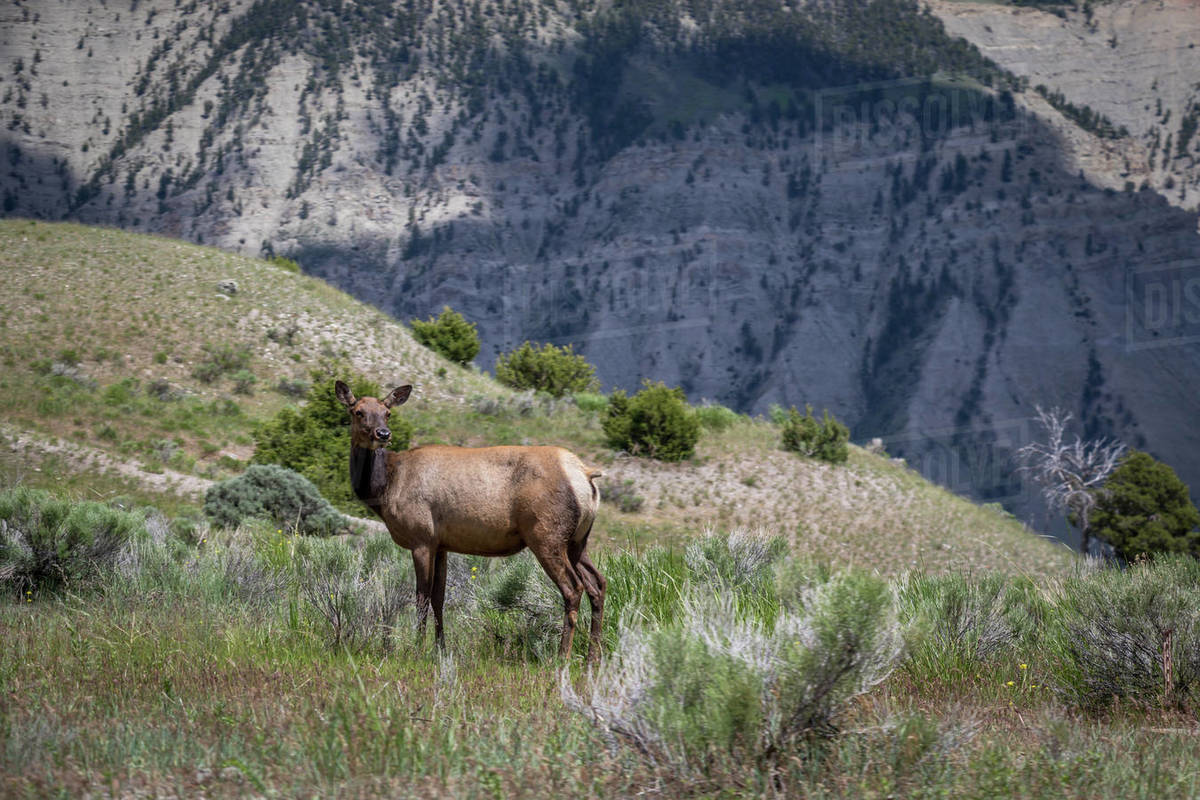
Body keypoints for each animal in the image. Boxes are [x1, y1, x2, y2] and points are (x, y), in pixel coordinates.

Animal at [335, 380, 607, 662]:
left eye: (387, 412)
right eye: (358, 411)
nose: (383, 433)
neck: (385, 488)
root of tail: (586, 476)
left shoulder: (421, 537)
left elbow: (421, 597)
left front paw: (416, 649)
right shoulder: (440, 544)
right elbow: (439, 598)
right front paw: (440, 648)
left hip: (546, 535)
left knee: (573, 588)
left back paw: (562, 657)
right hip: (577, 540)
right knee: (598, 584)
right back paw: (593, 656)